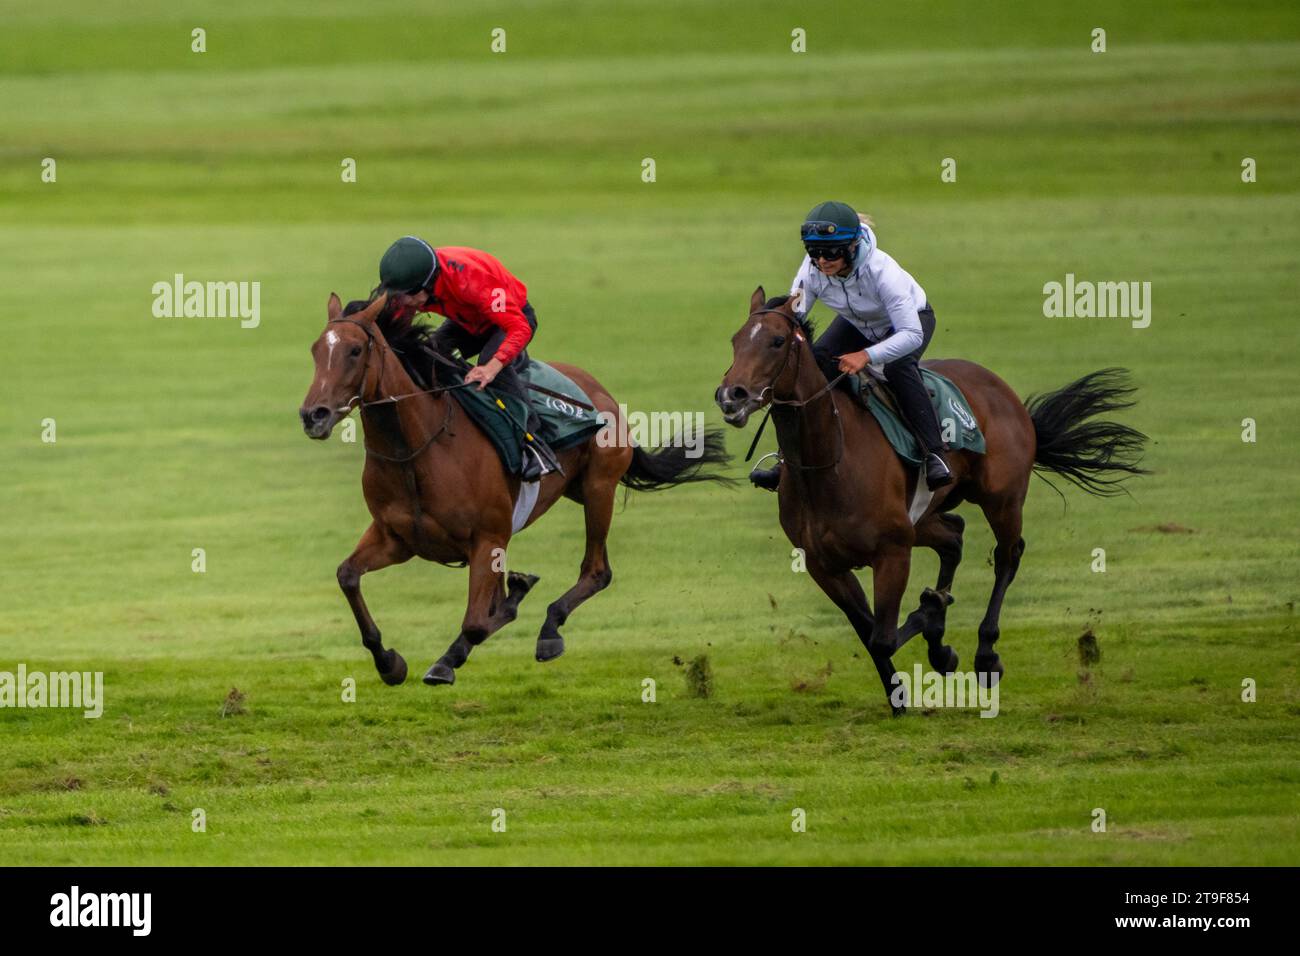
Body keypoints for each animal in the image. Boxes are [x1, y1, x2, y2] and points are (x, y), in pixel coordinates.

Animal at [300, 292, 732, 687]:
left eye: (355, 350)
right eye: (316, 350)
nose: (313, 415)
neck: (415, 449)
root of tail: (600, 391)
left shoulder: (488, 539)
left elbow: (478, 622)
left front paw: (452, 655)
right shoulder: (397, 539)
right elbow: (347, 576)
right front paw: (389, 662)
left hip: (599, 487)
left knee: (596, 571)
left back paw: (550, 630)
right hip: (577, 489)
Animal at [715, 287, 1148, 714]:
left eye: (777, 341)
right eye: (735, 340)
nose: (731, 396)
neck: (828, 462)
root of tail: (1002, 390)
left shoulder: (892, 551)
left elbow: (883, 636)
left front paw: (931, 618)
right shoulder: (824, 564)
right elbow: (869, 632)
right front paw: (904, 689)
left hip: (1001, 499)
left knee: (1007, 555)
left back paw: (986, 654)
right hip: (925, 516)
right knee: (954, 535)